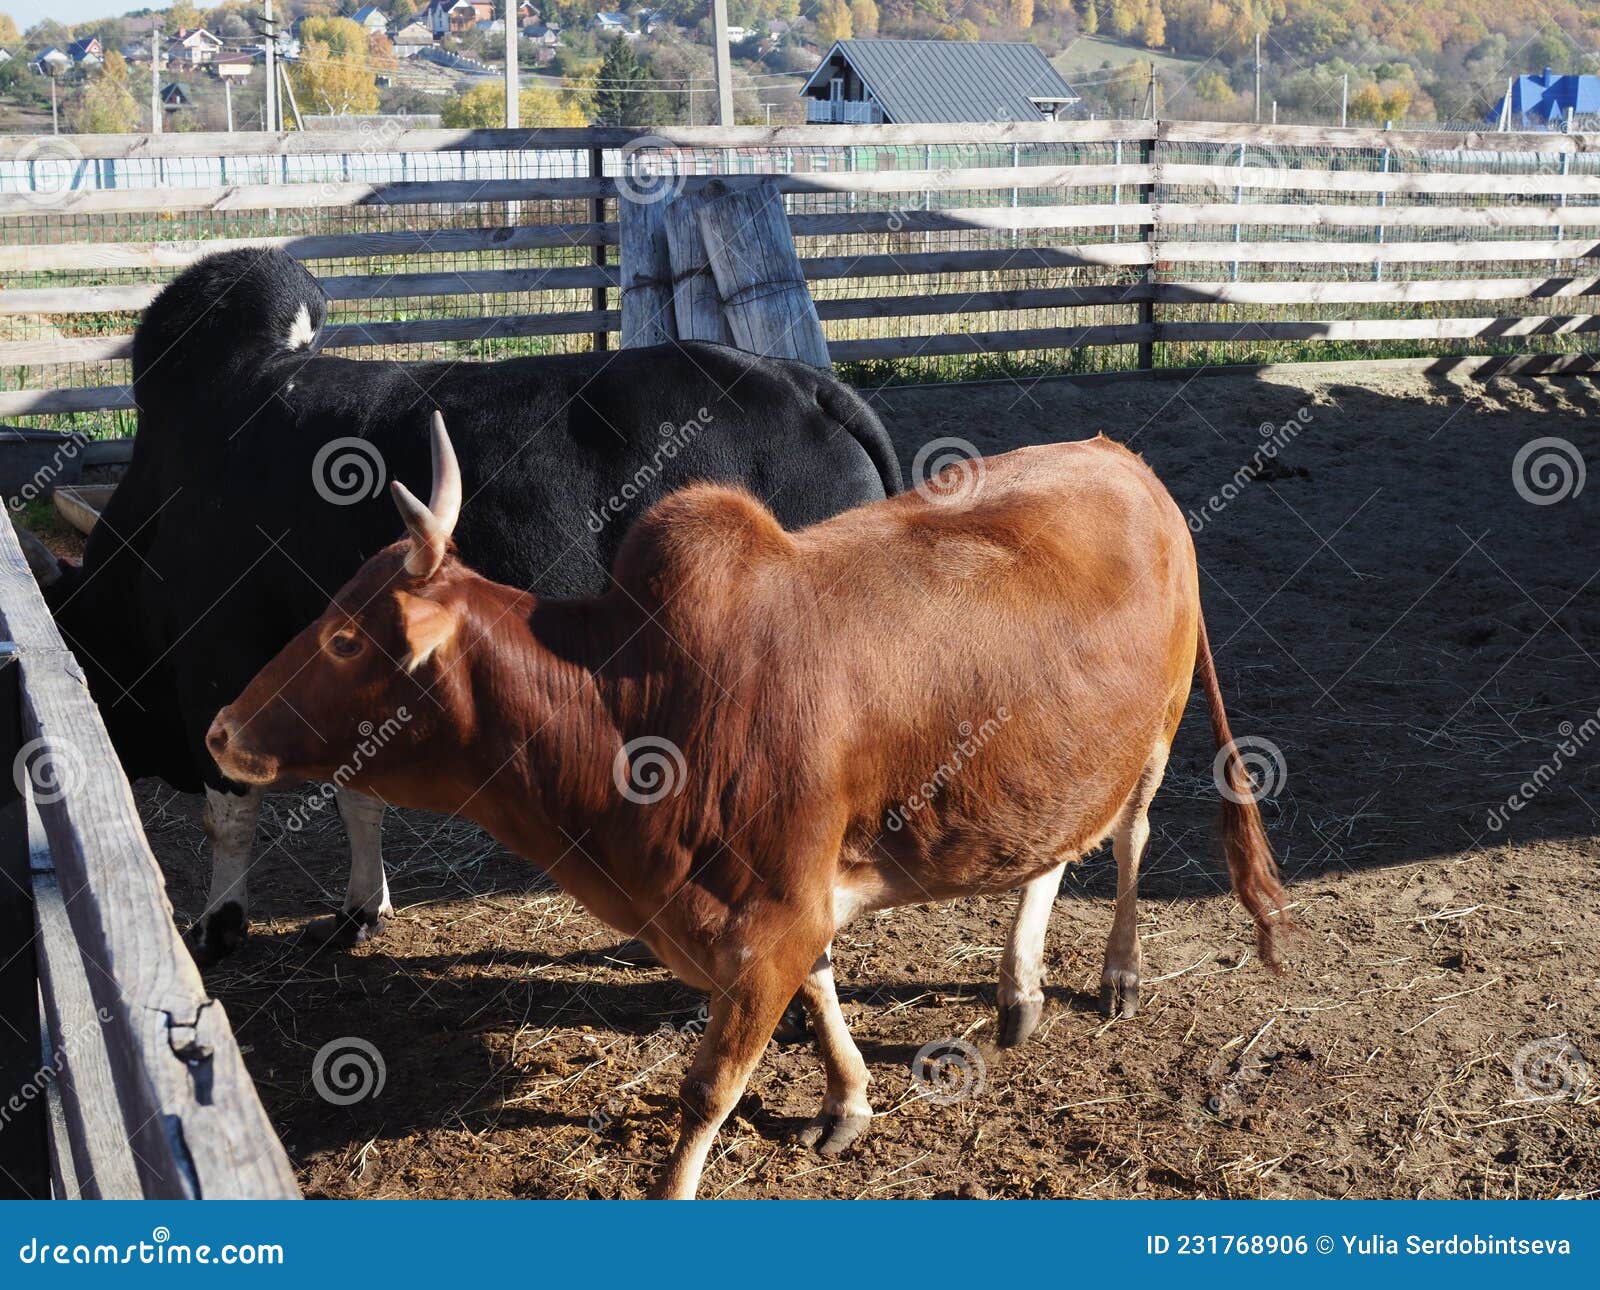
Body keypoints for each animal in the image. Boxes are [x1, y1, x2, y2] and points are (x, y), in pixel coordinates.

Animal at [24, 246, 902, 963]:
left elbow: (229, 818)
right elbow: (359, 799)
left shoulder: (215, 669)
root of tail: (804, 383)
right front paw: (360, 908)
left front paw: (219, 922)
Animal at [206, 414, 1291, 1199]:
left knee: (1131, 837)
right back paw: (1017, 987)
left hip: (1157, 730)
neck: (632, 705)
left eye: (347, 639)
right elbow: (818, 990)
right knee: (1051, 850)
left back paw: (1116, 974)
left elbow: (709, 1087)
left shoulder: (773, 915)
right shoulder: (777, 898)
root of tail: (1118, 457)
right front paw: (848, 1103)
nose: (218, 729)